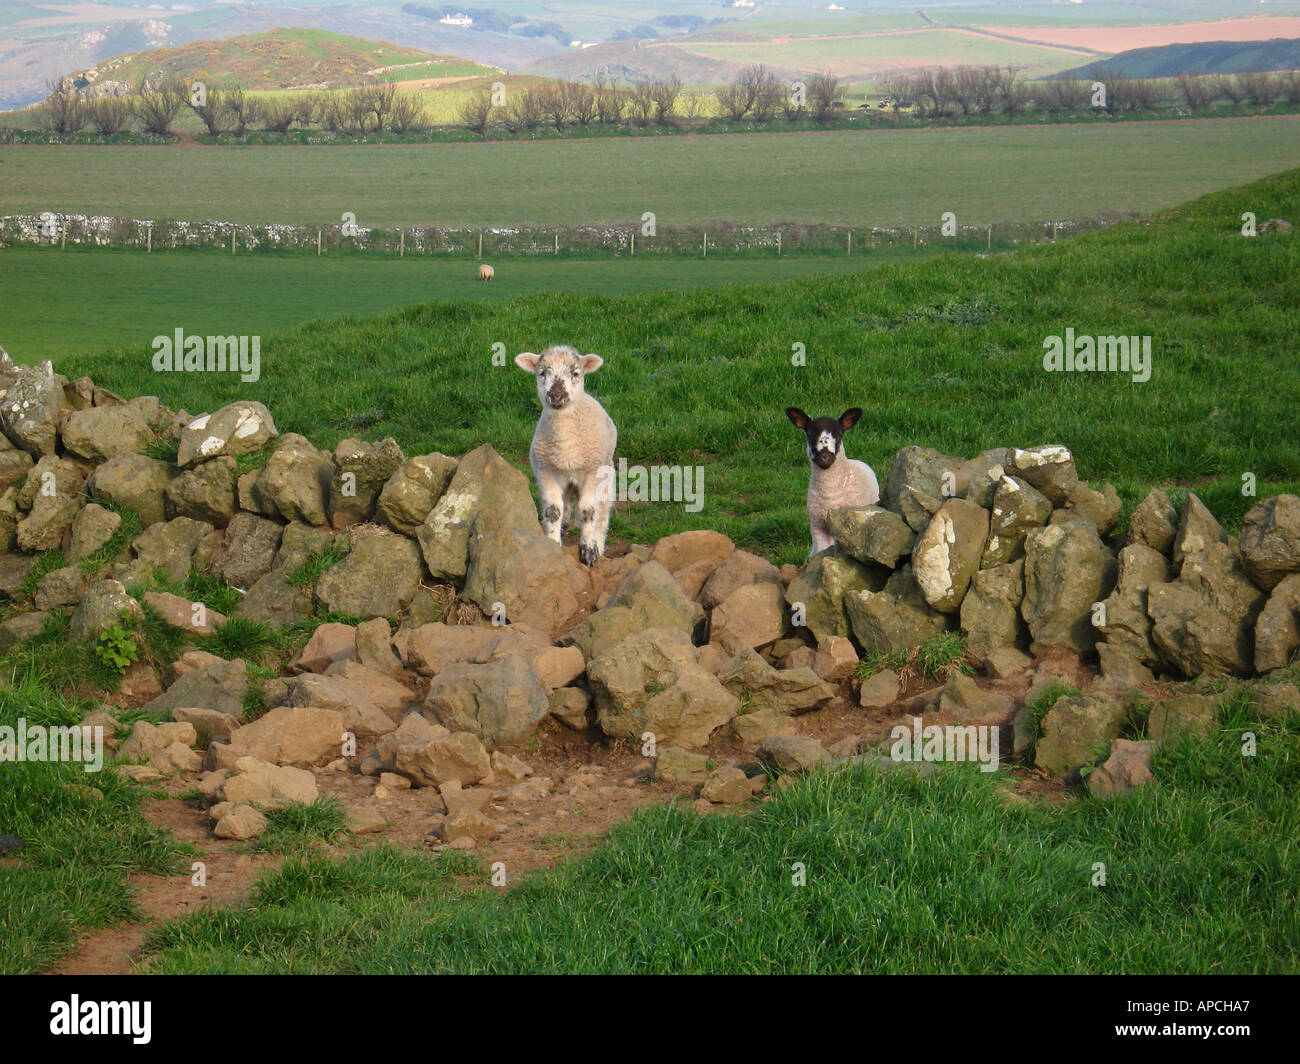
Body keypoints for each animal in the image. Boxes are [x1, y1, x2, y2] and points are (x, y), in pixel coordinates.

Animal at [515, 345, 618, 566]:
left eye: (576, 373)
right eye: (542, 373)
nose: (556, 395)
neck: (565, 448)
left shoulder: (591, 474)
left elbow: (588, 511)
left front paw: (588, 552)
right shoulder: (546, 472)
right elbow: (553, 511)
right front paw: (553, 542)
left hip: (606, 474)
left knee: (602, 513)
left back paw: (599, 544)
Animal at [786, 407, 879, 556]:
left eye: (840, 433)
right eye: (809, 433)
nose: (825, 458)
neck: (829, 495)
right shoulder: (818, 525)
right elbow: (821, 551)